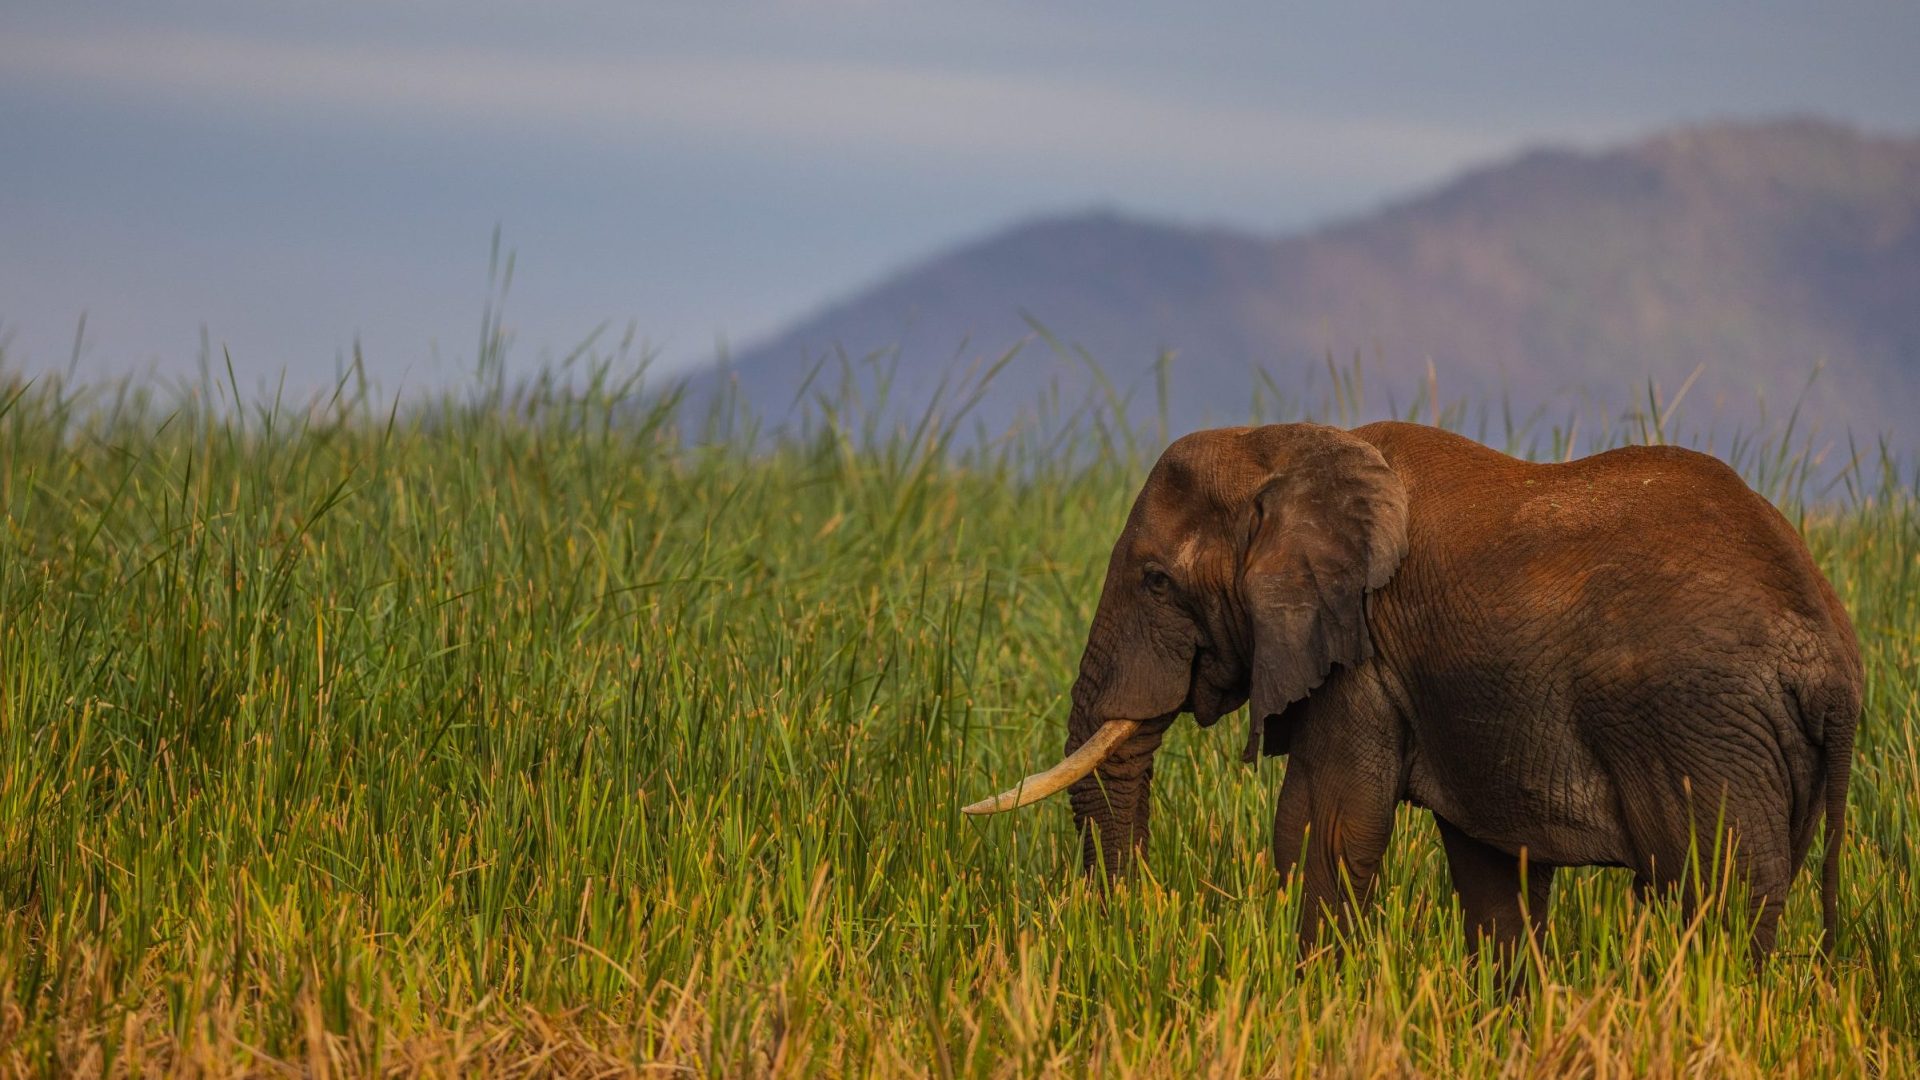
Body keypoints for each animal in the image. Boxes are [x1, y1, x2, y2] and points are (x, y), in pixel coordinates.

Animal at [965, 421, 1862, 959]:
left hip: (1700, 727)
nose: (1133, 924)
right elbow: (1494, 870)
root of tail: (1834, 661)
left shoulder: (1360, 658)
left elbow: (1324, 831)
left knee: (1716, 895)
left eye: (1155, 580)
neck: (1283, 444)